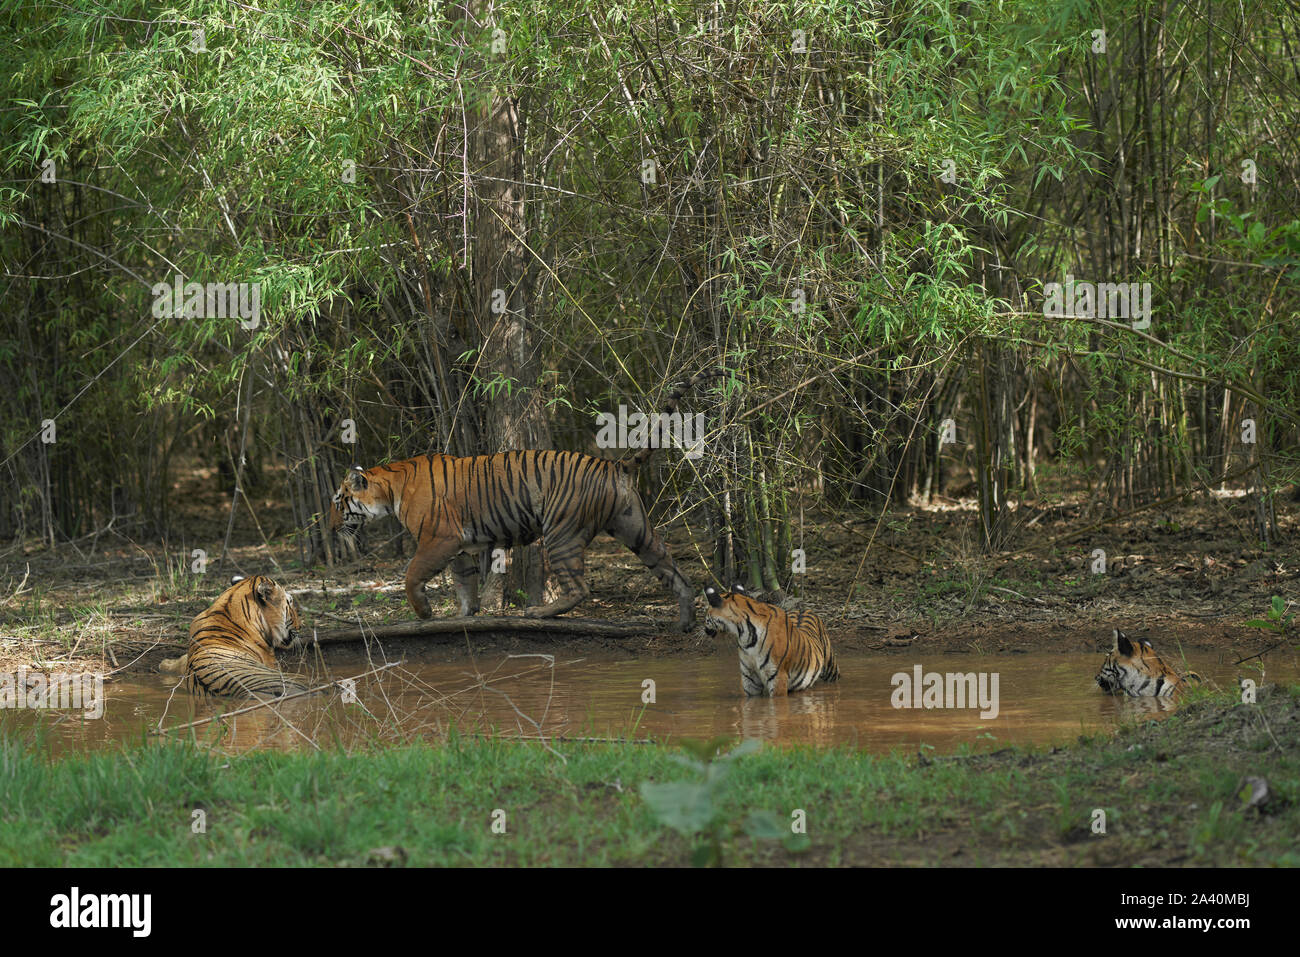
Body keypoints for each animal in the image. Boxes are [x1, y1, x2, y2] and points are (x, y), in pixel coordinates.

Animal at [328, 373, 718, 631]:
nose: (330, 530)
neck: (389, 488)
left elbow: (412, 574)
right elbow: (465, 585)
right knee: (675, 572)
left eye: (337, 501)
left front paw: (424, 613)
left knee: (580, 587)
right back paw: (685, 620)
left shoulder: (439, 539)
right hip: (635, 528)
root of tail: (613, 464)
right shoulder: (460, 546)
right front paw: (462, 617)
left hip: (561, 532)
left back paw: (538, 613)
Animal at [703, 584, 840, 696]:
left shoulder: (777, 676)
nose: (704, 629)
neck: (746, 637)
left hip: (831, 669)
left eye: (706, 614)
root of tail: (804, 608)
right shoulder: (749, 677)